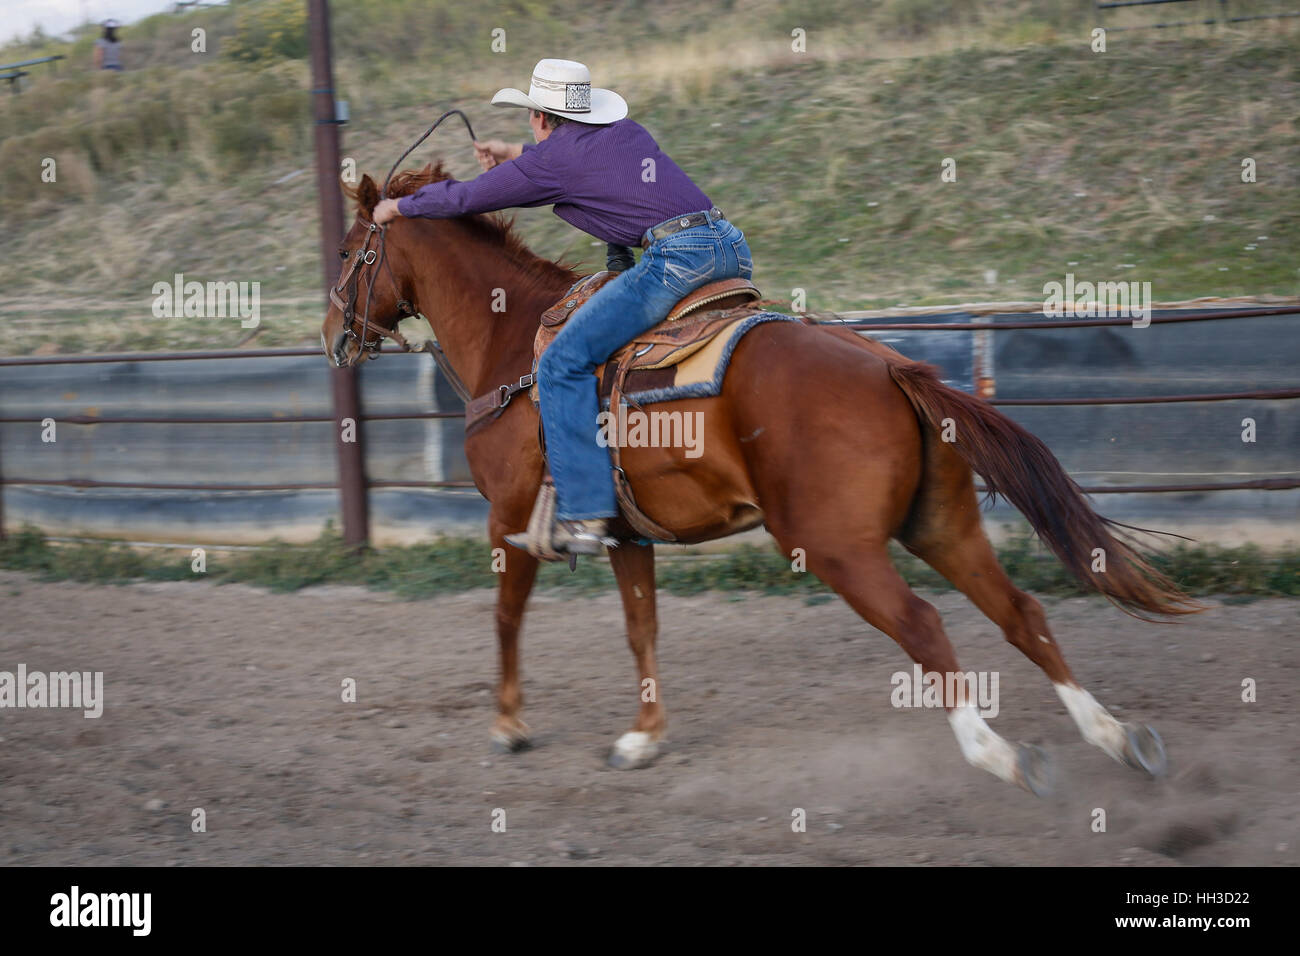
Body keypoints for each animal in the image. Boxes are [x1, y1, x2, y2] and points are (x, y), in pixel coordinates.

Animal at [321, 163, 1200, 794]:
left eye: (348, 252)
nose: (331, 334)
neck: (517, 349)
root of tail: (892, 368)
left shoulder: (508, 516)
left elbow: (506, 619)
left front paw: (509, 725)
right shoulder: (626, 533)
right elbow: (641, 627)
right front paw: (643, 738)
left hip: (836, 546)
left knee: (924, 626)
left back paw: (1004, 756)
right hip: (942, 525)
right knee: (1021, 612)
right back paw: (1116, 738)